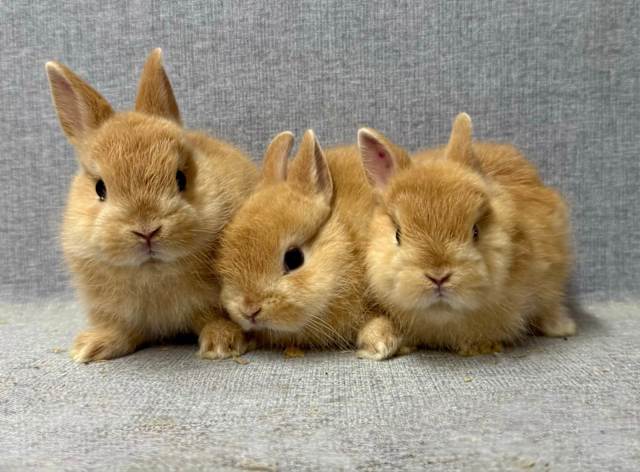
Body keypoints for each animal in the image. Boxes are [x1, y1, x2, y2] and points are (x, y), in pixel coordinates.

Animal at [45, 49, 258, 363]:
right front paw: (90, 347)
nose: (147, 231)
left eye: (181, 178)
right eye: (100, 188)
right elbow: (121, 329)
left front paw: (222, 345)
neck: (151, 274)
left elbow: (216, 318)